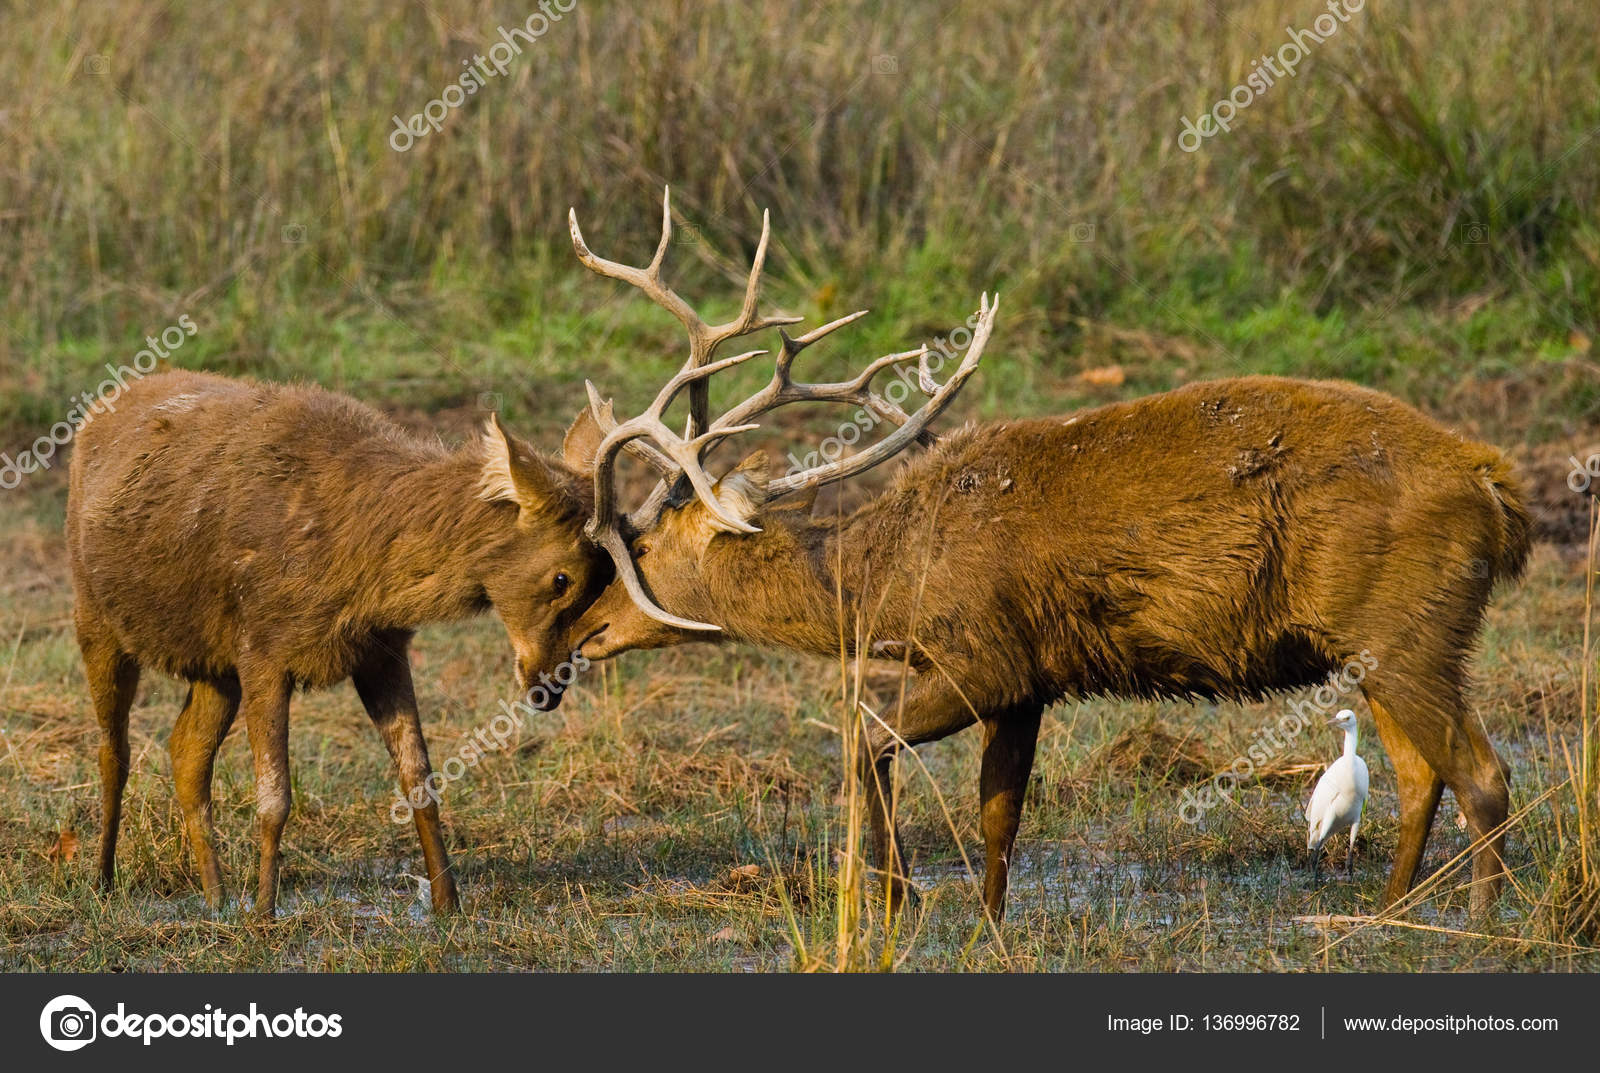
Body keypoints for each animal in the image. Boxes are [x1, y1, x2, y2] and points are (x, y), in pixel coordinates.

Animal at [65, 369, 631, 916]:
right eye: (562, 578)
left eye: (607, 581)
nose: (548, 687)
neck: (358, 571)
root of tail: (98, 412)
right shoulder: (262, 645)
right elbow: (274, 796)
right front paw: (263, 914)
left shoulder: (381, 649)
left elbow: (419, 779)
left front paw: (449, 906)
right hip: (94, 616)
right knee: (113, 750)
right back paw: (103, 881)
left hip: (213, 664)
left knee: (184, 752)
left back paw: (217, 898)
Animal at [558, 191, 1533, 922]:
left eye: (639, 541)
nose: (582, 630)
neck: (888, 581)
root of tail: (1498, 489)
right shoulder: (1029, 679)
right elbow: (1000, 816)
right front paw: (984, 921)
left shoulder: (983, 654)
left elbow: (865, 734)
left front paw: (901, 895)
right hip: (1383, 646)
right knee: (1420, 773)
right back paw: (1390, 909)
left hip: (1413, 628)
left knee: (1484, 774)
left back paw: (1477, 922)